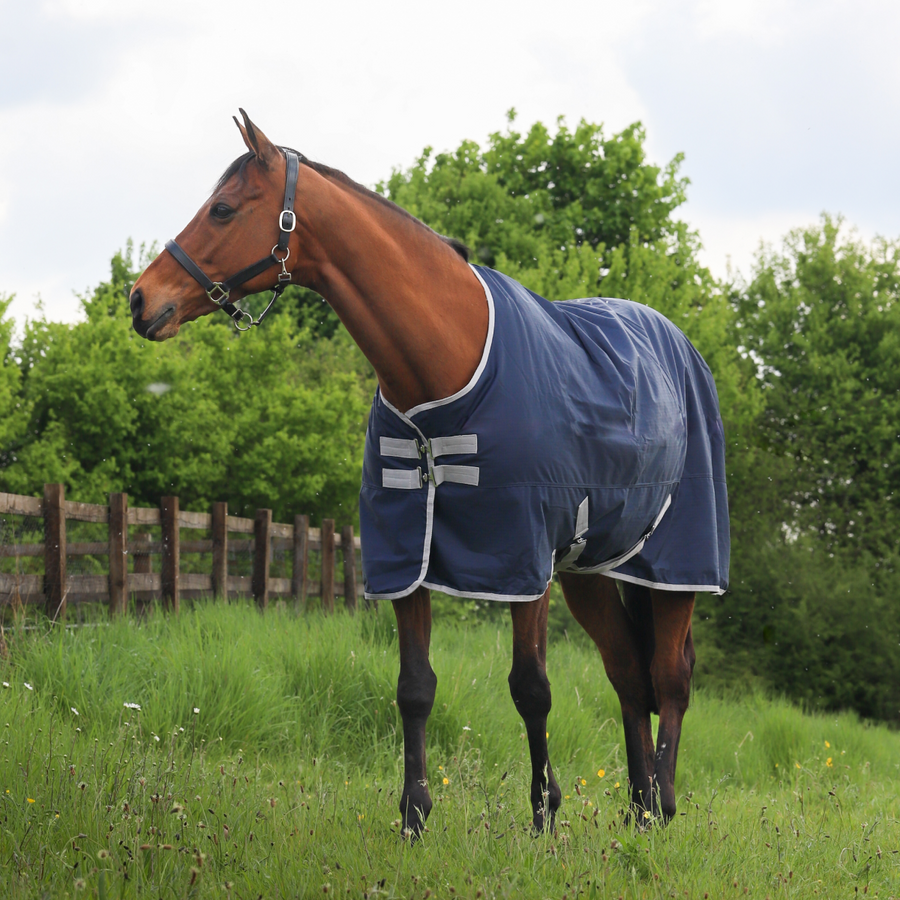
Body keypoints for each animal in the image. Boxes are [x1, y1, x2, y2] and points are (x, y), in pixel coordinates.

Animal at [130, 110, 729, 837]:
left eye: (222, 209)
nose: (140, 299)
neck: (446, 362)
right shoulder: (406, 555)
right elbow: (414, 688)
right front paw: (414, 817)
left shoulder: (522, 560)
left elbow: (531, 689)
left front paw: (542, 816)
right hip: (588, 571)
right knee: (628, 675)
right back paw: (639, 809)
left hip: (676, 568)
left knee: (668, 676)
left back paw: (661, 805)